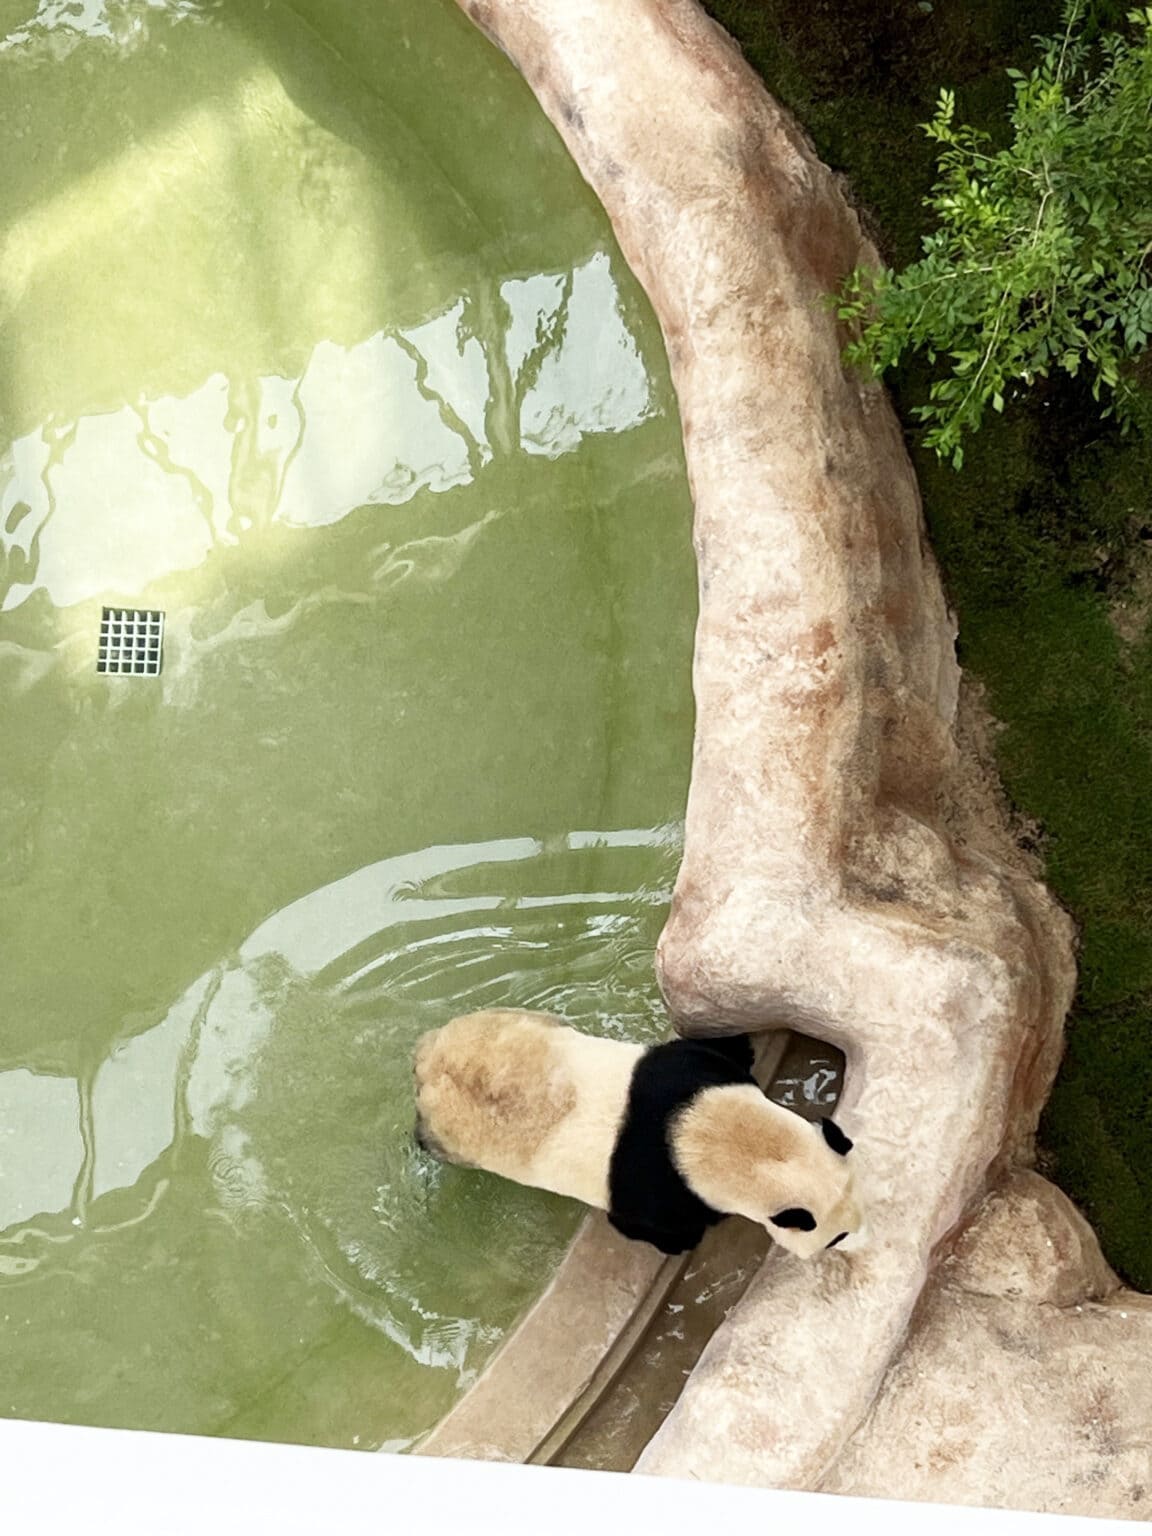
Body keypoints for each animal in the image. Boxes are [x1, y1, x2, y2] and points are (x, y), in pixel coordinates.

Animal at [412, 1008, 862, 1258]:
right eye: (836, 1237)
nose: (859, 1240)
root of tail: (428, 1060)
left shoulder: (686, 1075)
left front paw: (742, 1045)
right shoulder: (650, 1192)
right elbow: (644, 1224)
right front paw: (682, 1242)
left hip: (506, 1022)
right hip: (453, 1131)